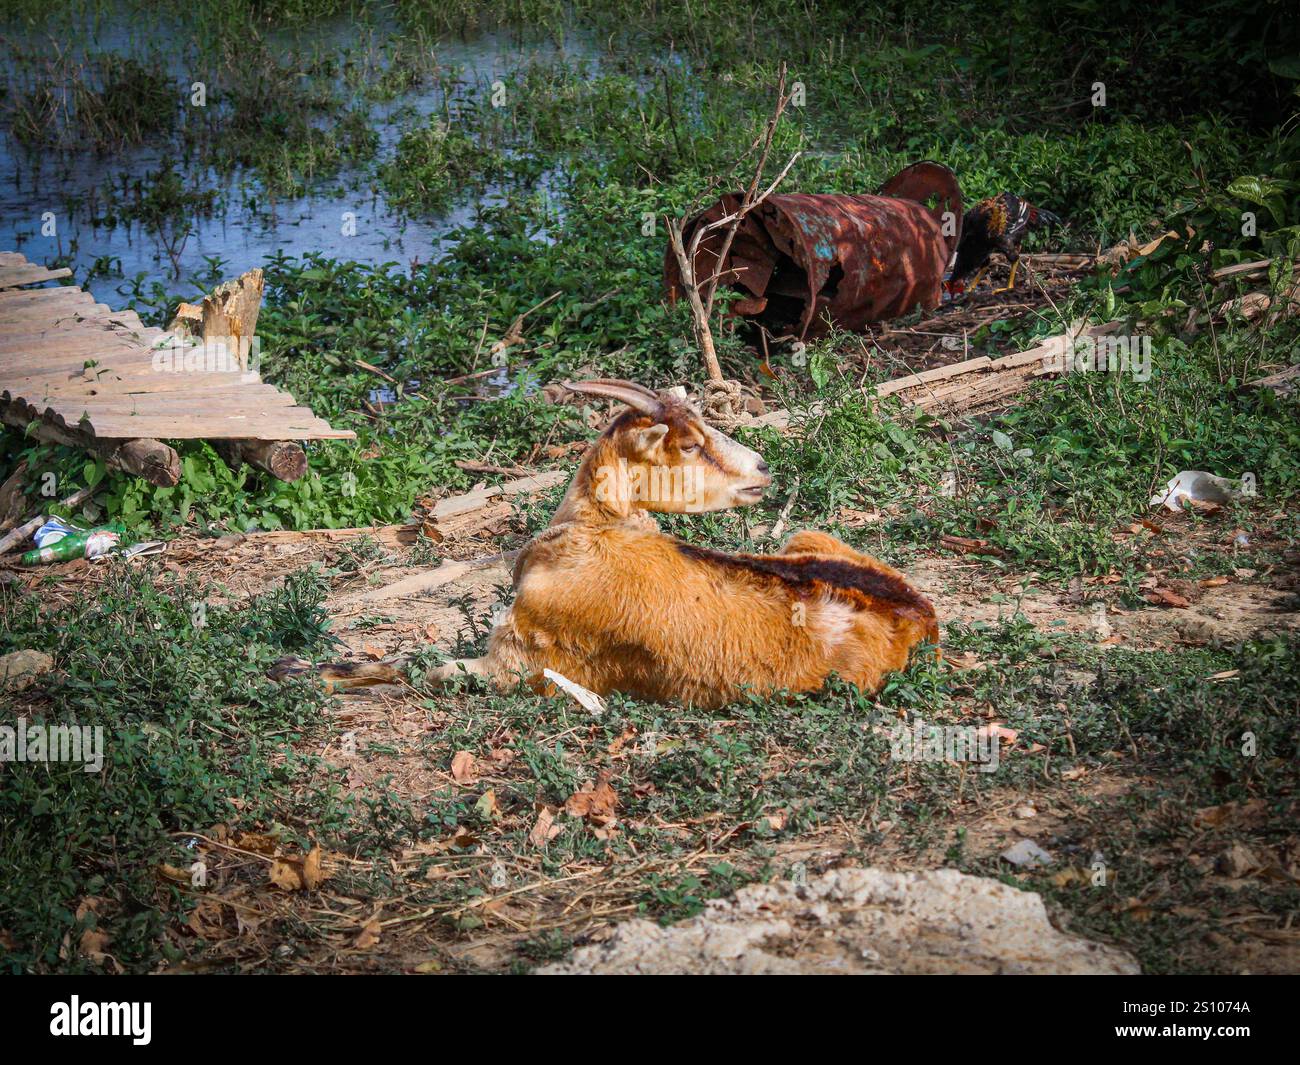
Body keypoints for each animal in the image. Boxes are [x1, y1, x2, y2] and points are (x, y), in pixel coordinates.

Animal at [273, 379, 938, 708]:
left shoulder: (517, 664)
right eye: (690, 443)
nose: (763, 468)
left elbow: (417, 667)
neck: (595, 535)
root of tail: (921, 615)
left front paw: (301, 673)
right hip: (807, 537)